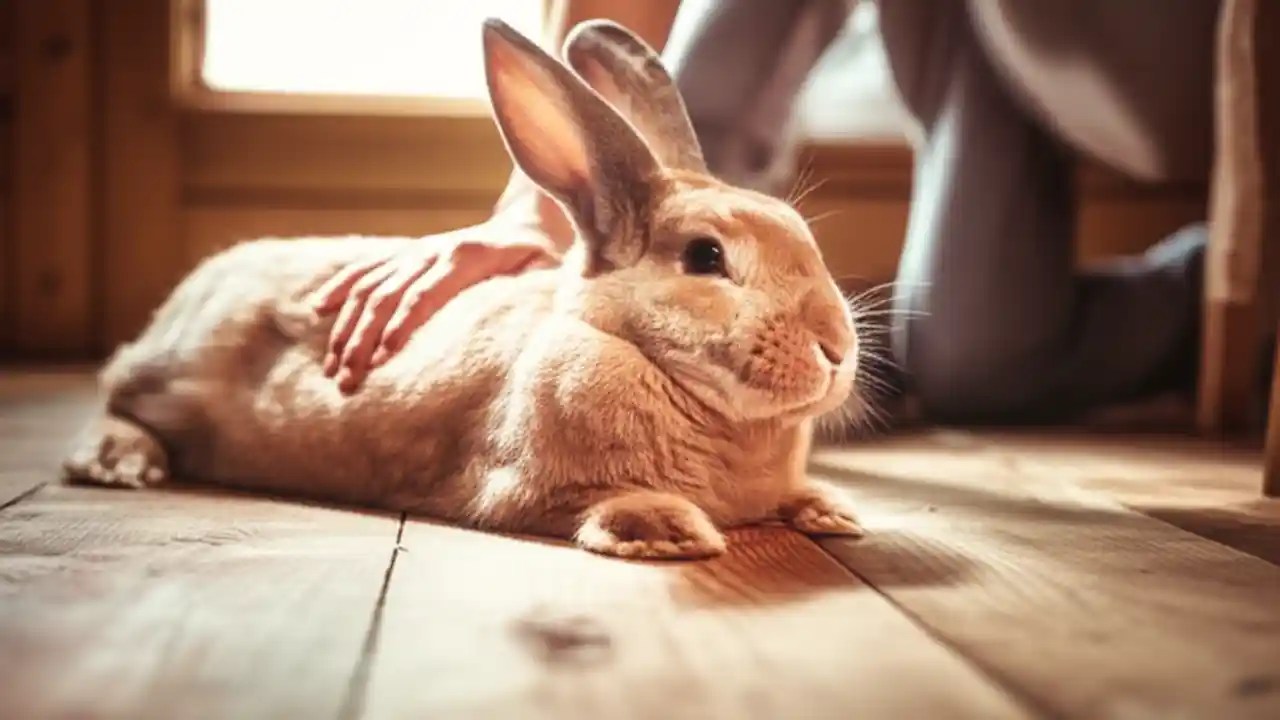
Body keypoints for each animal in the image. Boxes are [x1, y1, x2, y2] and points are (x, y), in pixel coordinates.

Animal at [61, 18, 864, 560]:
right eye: (705, 256)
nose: (836, 349)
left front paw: (833, 512)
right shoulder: (534, 489)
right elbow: (610, 504)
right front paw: (670, 533)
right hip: (173, 371)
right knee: (114, 395)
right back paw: (118, 461)